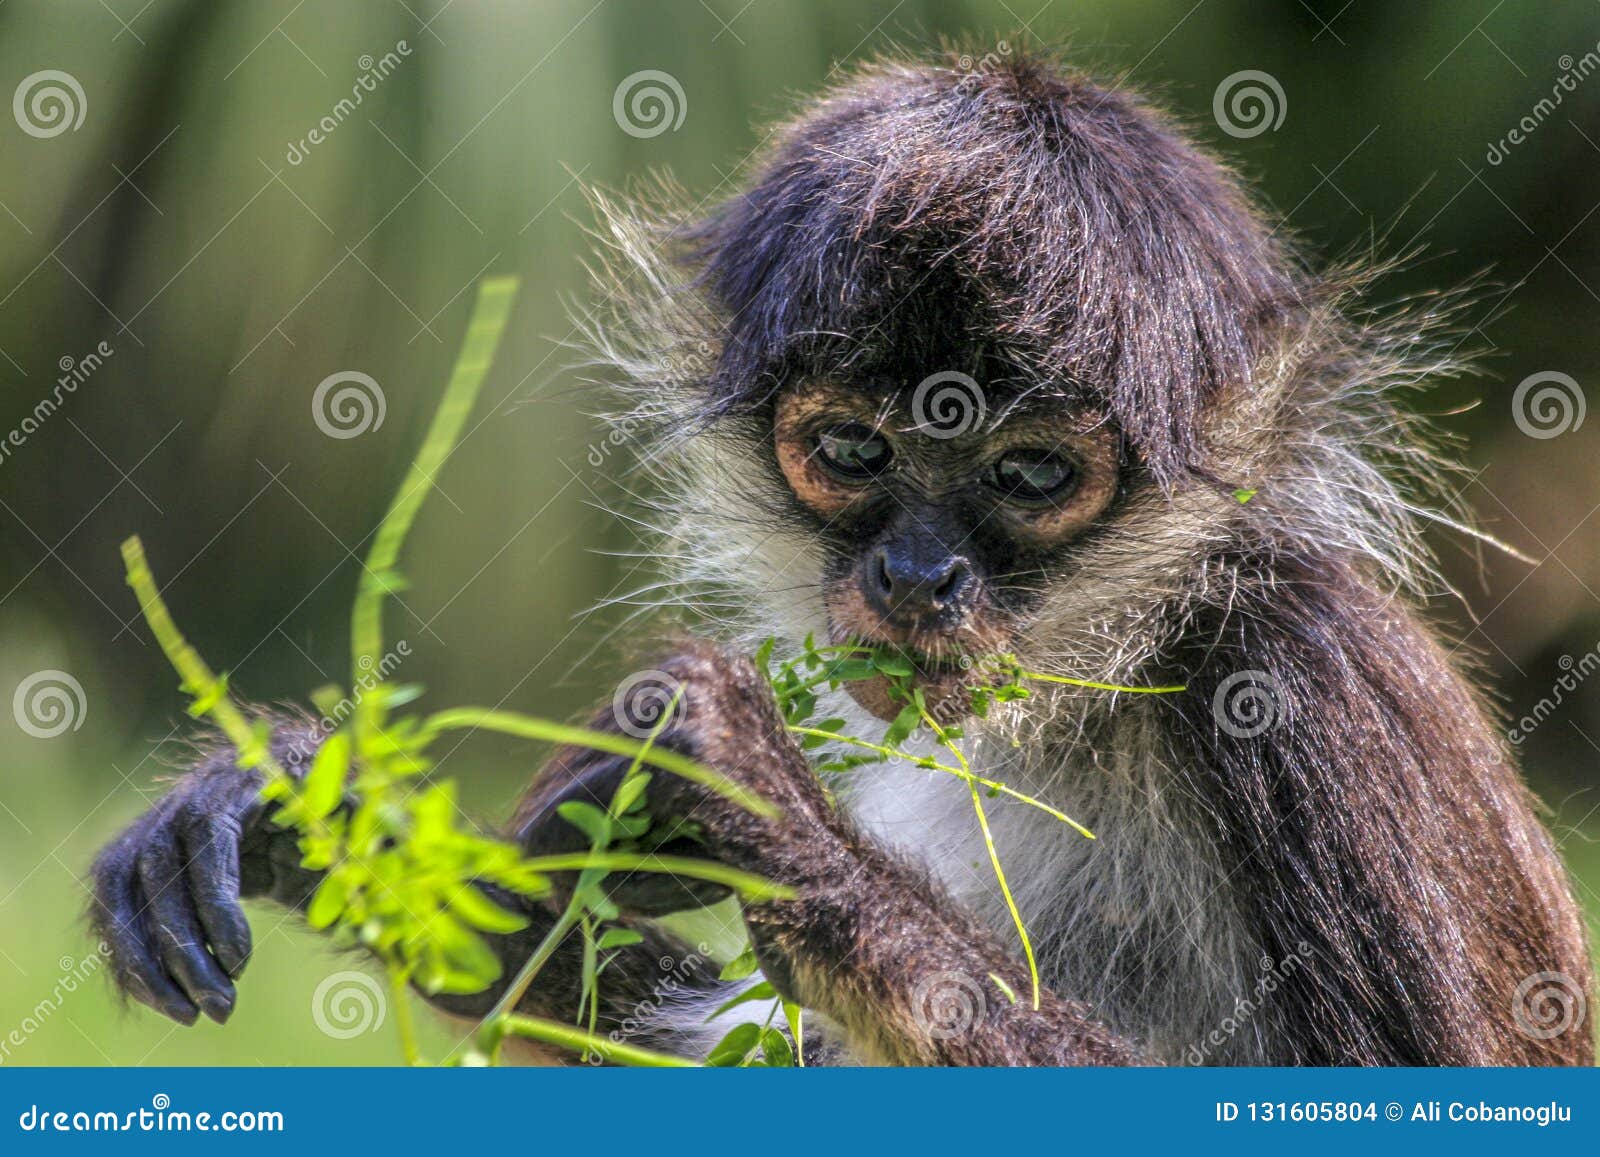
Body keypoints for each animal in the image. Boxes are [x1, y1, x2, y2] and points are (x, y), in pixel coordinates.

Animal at [88, 49, 1593, 1066]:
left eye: (1030, 474)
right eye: (854, 450)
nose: (916, 578)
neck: (1096, 695)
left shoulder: (1306, 674)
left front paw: (769, 816)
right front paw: (309, 808)